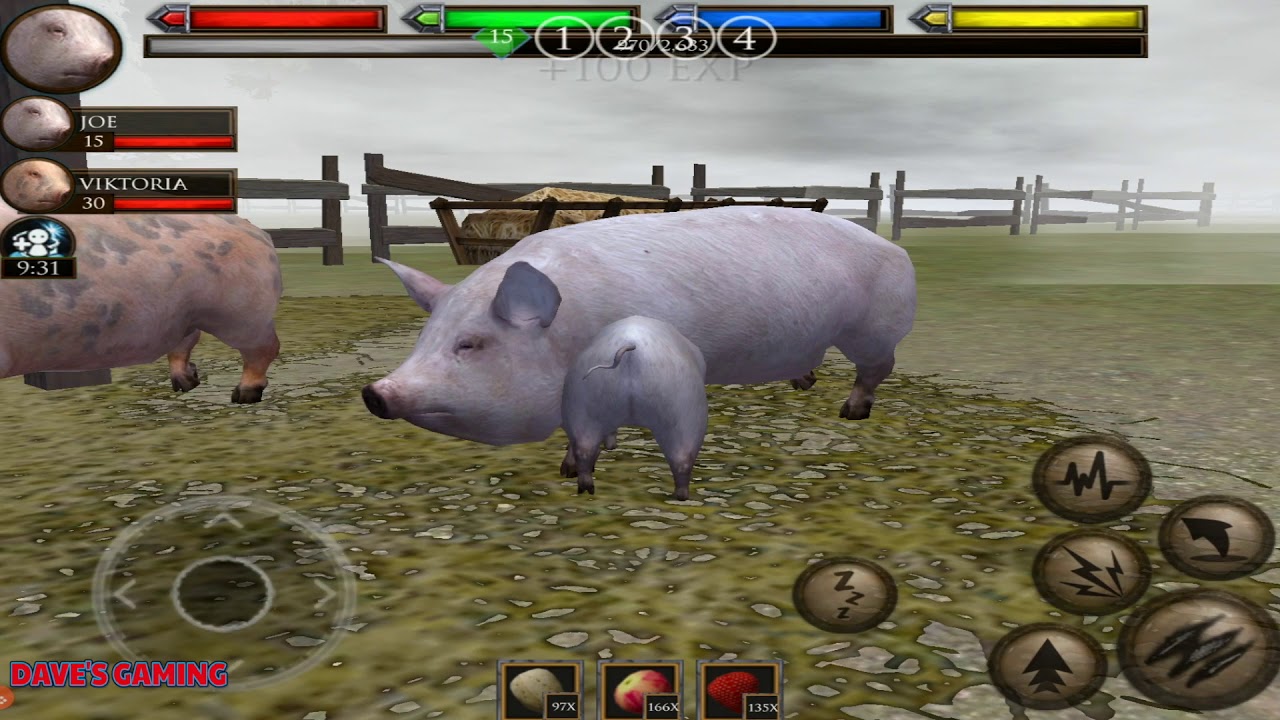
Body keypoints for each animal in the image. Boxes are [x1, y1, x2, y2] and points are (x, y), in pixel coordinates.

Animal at [0, 202, 282, 403]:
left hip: (241, 312)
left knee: (264, 347)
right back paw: (183, 385)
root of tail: (256, 230)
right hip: (184, 314)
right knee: (186, 341)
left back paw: (242, 397)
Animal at [363, 205, 916, 477]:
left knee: (877, 369)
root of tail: (894, 248)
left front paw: (570, 470)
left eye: (471, 344)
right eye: (425, 337)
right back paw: (803, 384)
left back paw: (851, 413)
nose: (376, 393)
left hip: (874, 327)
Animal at [563, 316, 708, 500]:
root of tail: (631, 346)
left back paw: (585, 488)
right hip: (686, 408)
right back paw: (680, 496)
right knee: (683, 458)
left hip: (582, 401)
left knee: (584, 447)